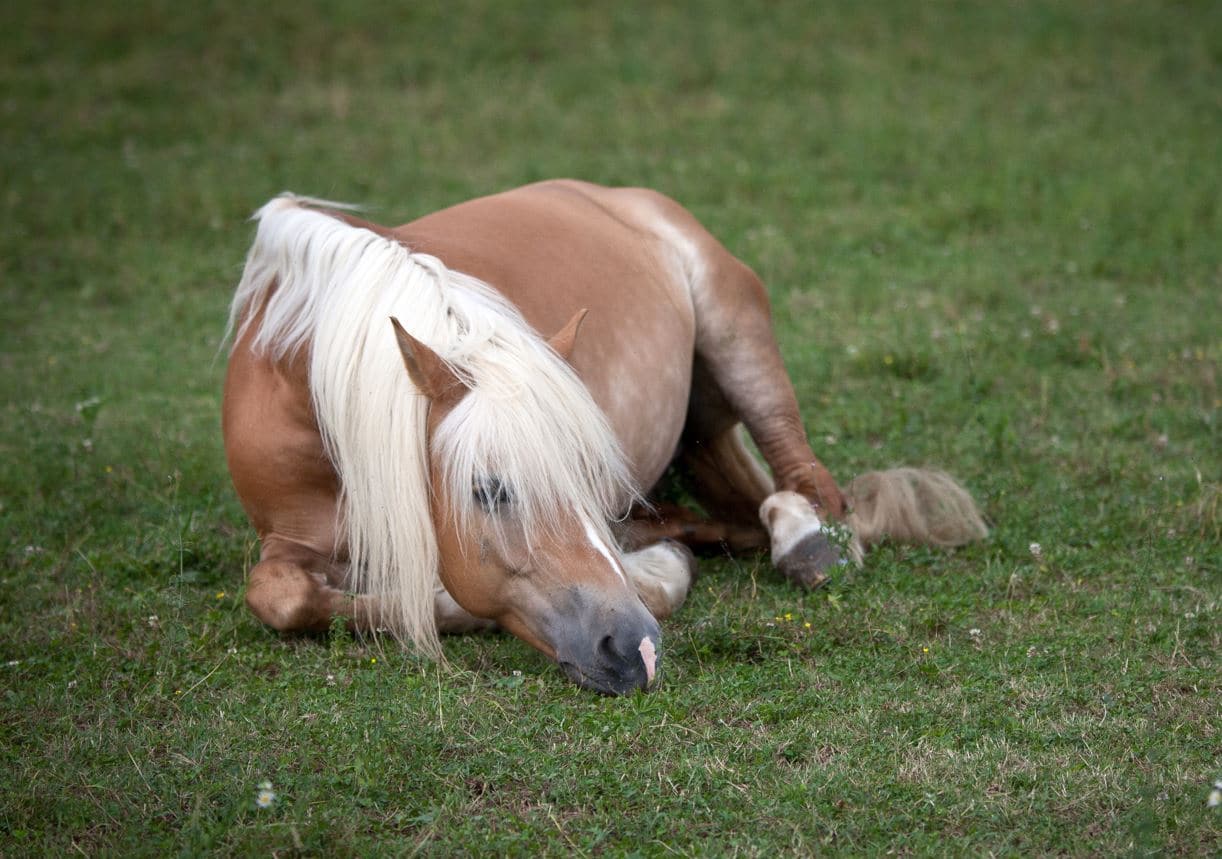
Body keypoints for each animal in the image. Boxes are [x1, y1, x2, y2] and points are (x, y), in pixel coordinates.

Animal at [222, 180, 987, 694]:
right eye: (489, 490)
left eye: (587, 473)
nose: (636, 648)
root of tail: (612, 195)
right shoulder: (286, 542)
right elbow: (281, 596)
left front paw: (654, 569)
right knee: (742, 513)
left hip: (741, 341)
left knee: (810, 485)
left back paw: (801, 541)